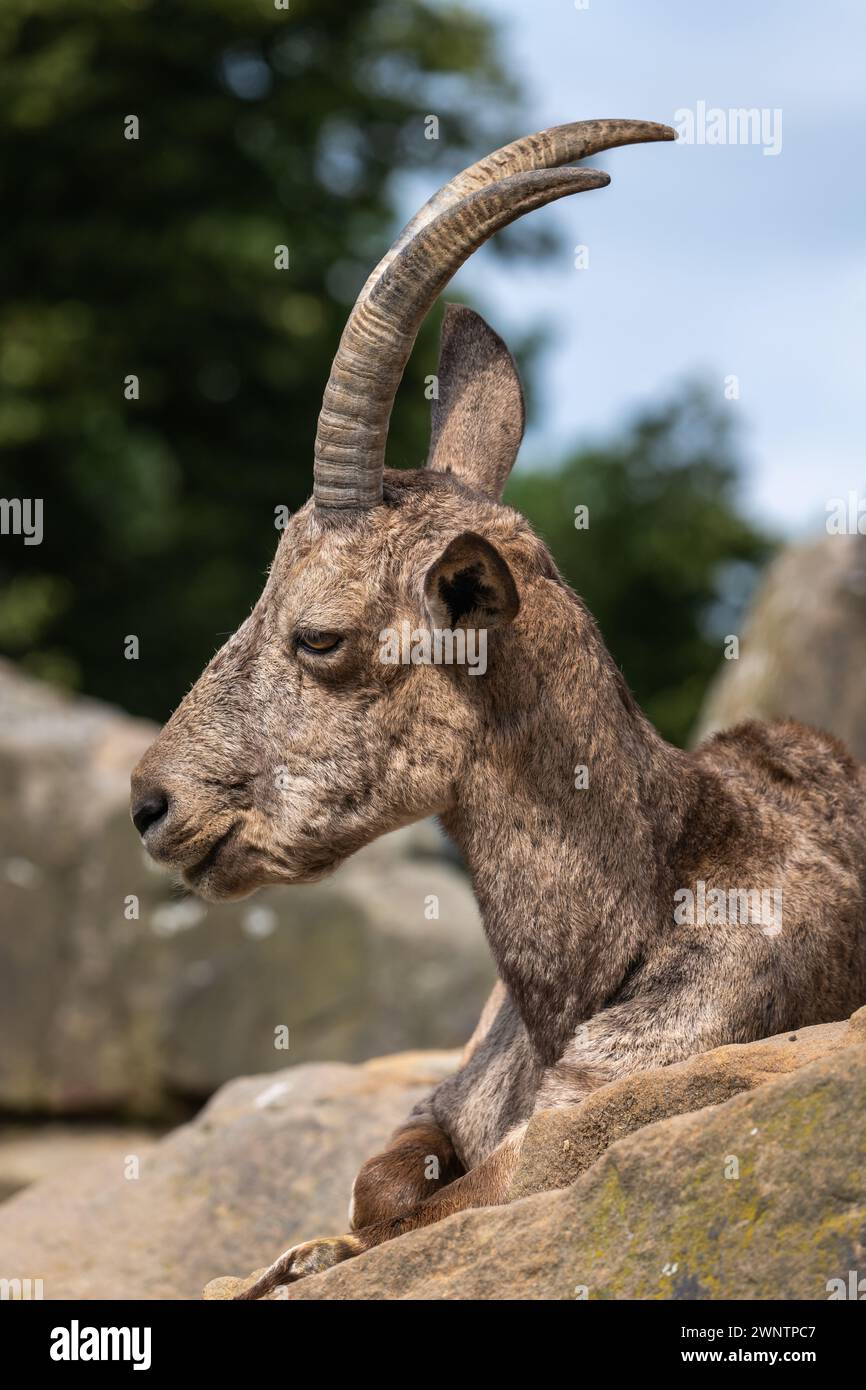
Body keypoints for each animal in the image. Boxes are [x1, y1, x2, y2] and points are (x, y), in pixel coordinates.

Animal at [130, 119, 866, 1299]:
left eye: (319, 634)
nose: (154, 805)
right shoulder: (452, 1091)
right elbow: (381, 1180)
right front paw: (300, 1247)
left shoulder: (600, 1105)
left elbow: (433, 1206)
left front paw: (308, 1255)